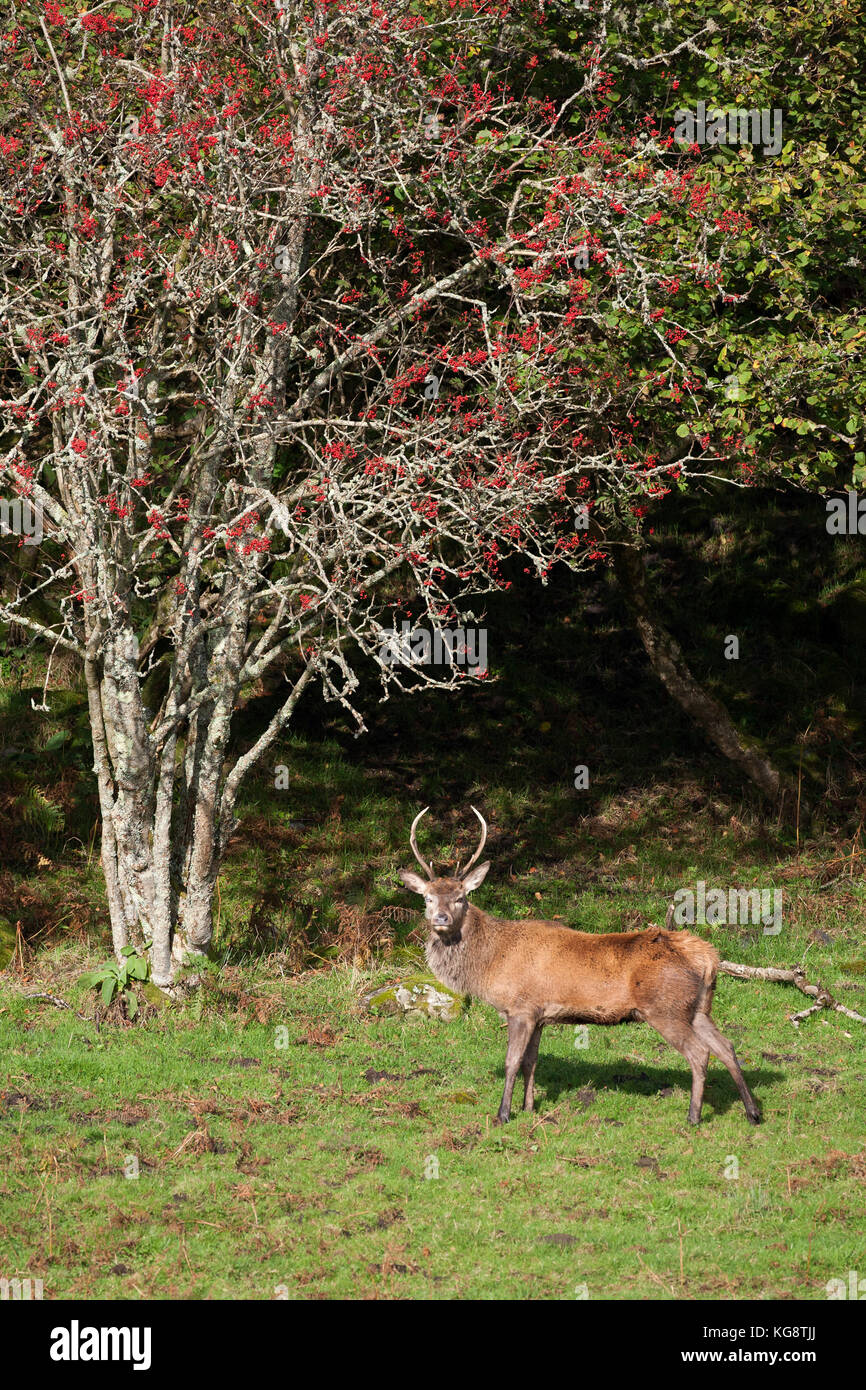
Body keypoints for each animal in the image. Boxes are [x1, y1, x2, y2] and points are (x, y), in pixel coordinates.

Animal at [399, 808, 761, 1127]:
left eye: (461, 898)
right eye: (428, 898)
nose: (440, 918)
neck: (490, 964)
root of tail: (709, 957)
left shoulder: (521, 1007)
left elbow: (512, 1061)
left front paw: (503, 1114)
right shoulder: (540, 1013)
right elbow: (531, 1062)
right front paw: (529, 1108)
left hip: (665, 1007)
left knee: (700, 1053)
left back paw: (693, 1117)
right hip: (698, 1006)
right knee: (727, 1047)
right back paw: (752, 1112)